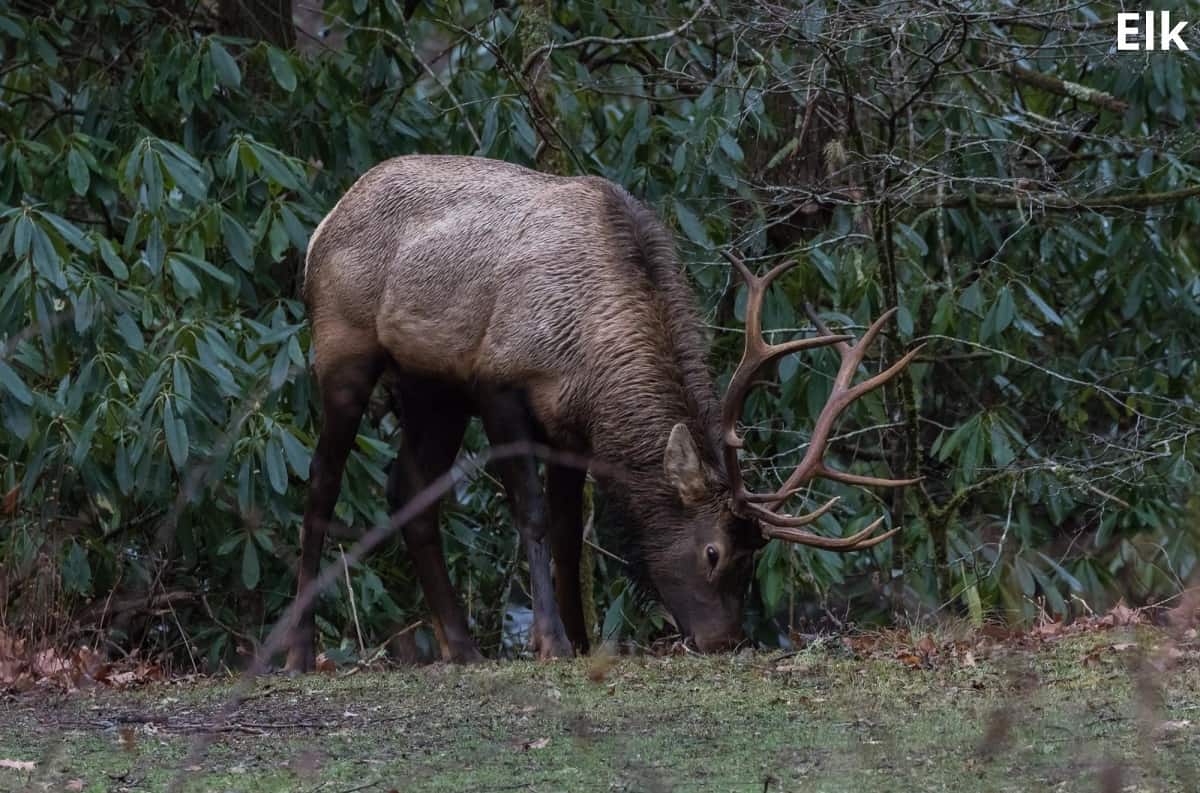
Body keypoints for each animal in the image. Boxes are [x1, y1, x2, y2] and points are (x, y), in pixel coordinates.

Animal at [287, 154, 920, 672]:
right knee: (322, 481)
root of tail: (322, 228)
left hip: (430, 387)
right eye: (713, 551)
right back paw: (295, 653)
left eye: (755, 554)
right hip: (344, 345)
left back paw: (462, 649)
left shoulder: (571, 425)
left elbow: (571, 532)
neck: (588, 351)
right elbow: (534, 515)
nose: (724, 640)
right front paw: (550, 643)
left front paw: (581, 638)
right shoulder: (498, 382)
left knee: (409, 489)